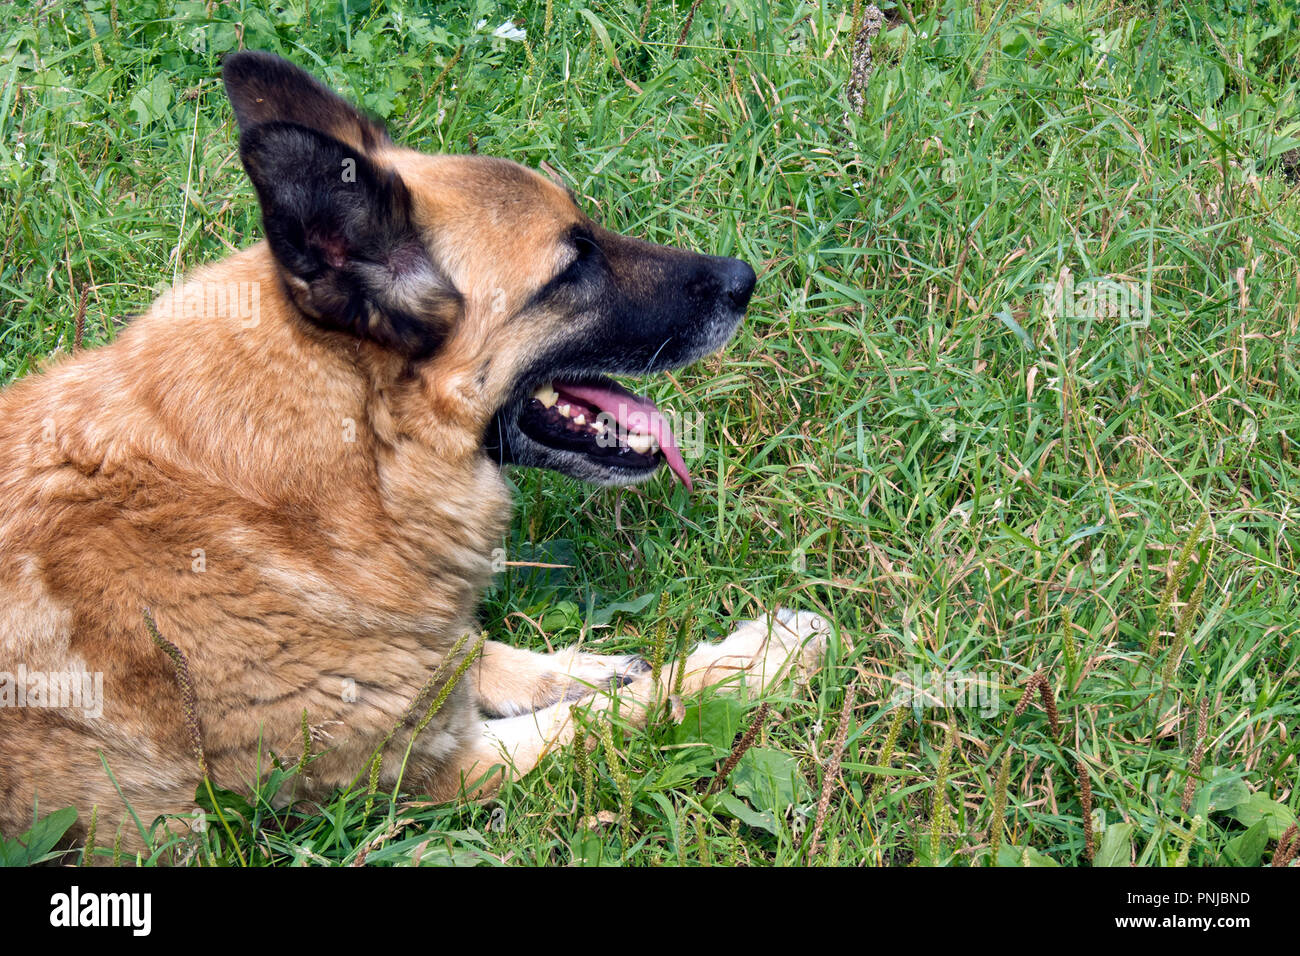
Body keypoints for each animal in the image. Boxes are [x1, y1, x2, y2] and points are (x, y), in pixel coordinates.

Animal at [0, 52, 826, 853]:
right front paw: (760, 656)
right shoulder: (448, 770)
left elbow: (473, 649)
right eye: (573, 267)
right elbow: (641, 708)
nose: (745, 279)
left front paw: (582, 668)